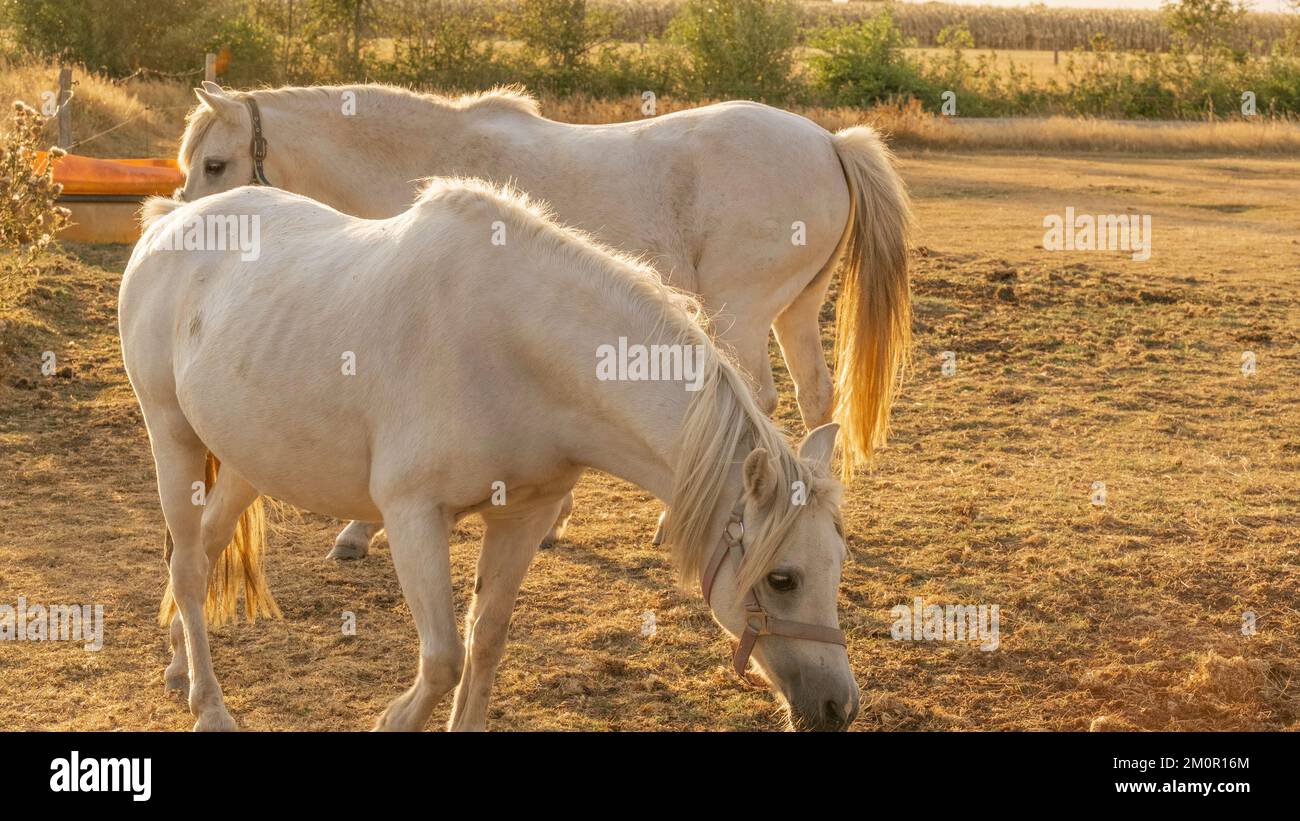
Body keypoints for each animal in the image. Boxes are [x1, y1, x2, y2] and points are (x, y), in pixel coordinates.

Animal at [121, 179, 858, 731]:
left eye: (836, 562)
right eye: (782, 578)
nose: (839, 706)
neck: (513, 350)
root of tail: (169, 221)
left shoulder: (523, 517)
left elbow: (486, 641)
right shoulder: (414, 516)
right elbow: (444, 656)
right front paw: (394, 719)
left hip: (247, 462)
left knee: (204, 549)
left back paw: (180, 665)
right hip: (172, 438)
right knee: (188, 565)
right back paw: (209, 705)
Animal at [171, 82, 910, 560]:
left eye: (216, 163)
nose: (186, 227)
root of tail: (828, 141)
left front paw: (358, 533)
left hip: (741, 310)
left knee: (751, 401)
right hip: (794, 311)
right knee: (817, 396)